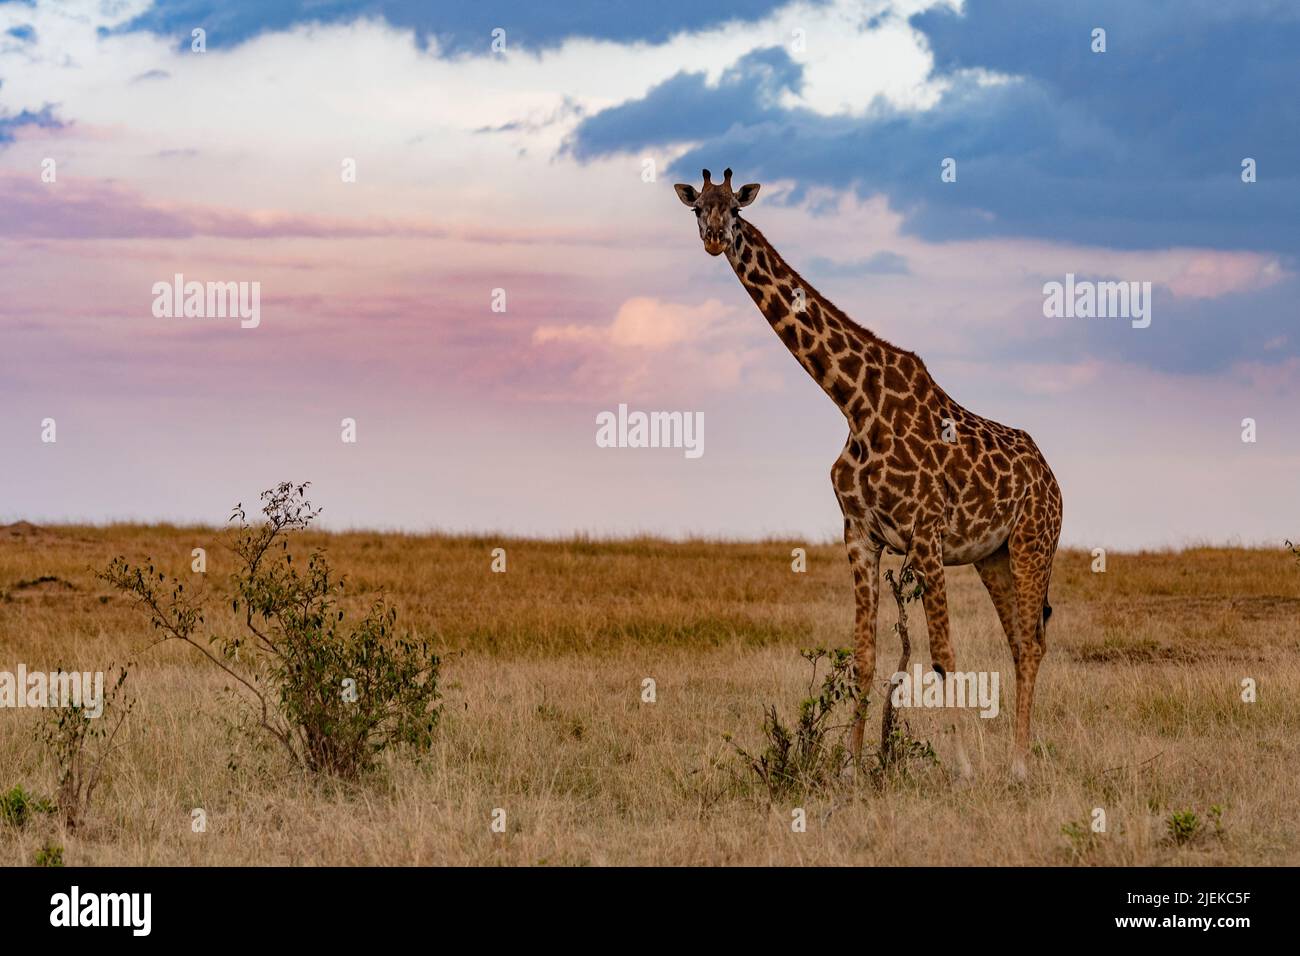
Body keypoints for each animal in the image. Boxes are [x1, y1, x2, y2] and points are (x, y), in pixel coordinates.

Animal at [674, 168, 1063, 778]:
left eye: (734, 208)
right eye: (698, 209)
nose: (714, 239)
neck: (854, 402)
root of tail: (1052, 479)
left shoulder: (926, 533)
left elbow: (943, 655)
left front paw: (961, 768)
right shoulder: (859, 534)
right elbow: (864, 656)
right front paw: (852, 766)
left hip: (1033, 542)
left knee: (1034, 641)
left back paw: (1020, 766)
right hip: (993, 555)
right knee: (1022, 642)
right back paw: (1014, 761)